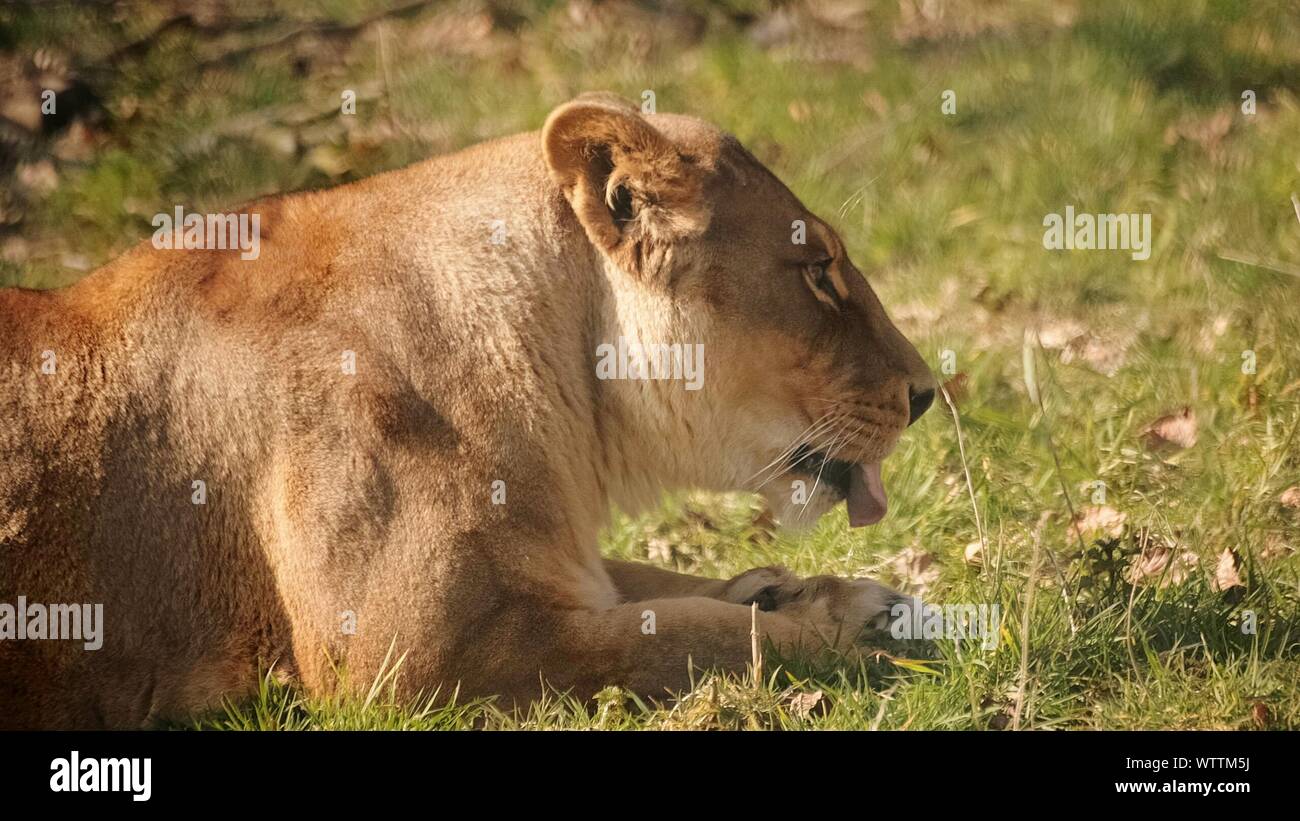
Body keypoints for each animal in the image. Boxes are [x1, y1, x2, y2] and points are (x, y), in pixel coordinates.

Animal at [0, 93, 936, 729]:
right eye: (819, 273)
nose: (927, 393)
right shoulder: (411, 665)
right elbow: (691, 636)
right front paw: (861, 640)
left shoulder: (556, 569)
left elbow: (658, 588)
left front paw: (834, 597)